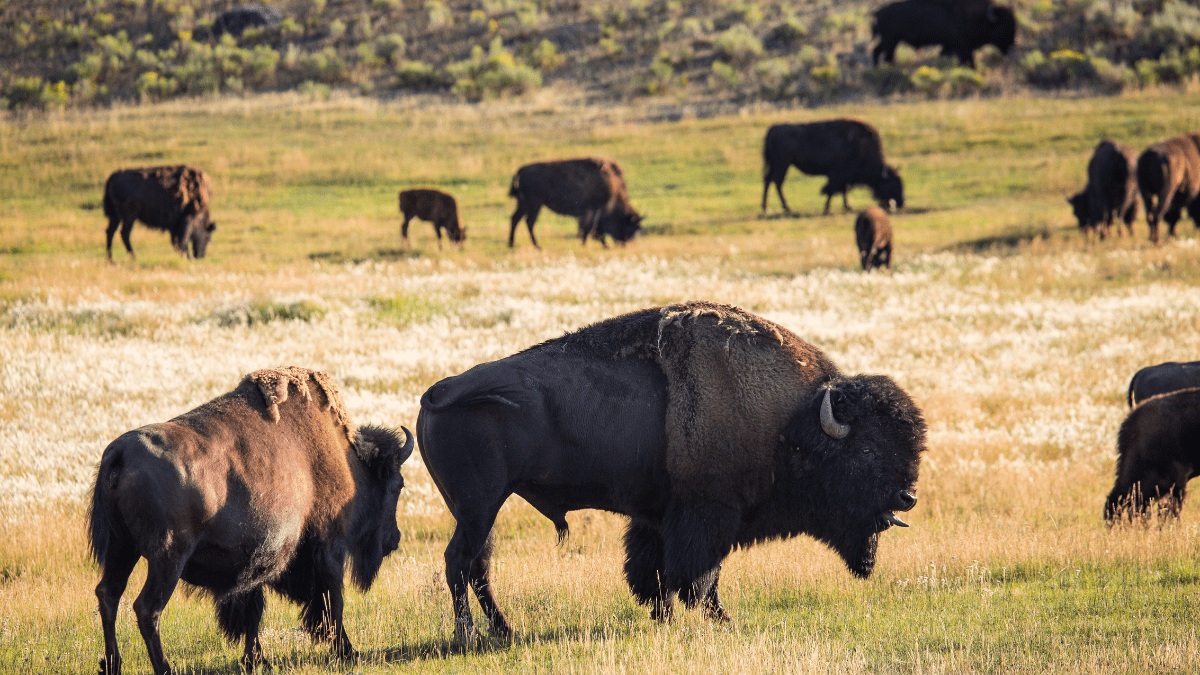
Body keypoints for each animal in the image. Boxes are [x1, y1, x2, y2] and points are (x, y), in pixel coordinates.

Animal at [89, 367, 414, 675]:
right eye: (398, 485)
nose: (394, 539)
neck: (347, 462)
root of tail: (119, 453)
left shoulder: (250, 566)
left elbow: (252, 613)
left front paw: (255, 660)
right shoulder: (329, 547)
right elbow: (332, 602)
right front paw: (348, 652)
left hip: (121, 549)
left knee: (108, 595)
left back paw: (112, 664)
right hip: (167, 558)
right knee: (147, 609)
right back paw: (165, 669)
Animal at [418, 301, 926, 641]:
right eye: (867, 451)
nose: (907, 497)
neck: (791, 422)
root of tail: (437, 392)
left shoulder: (659, 518)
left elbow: (652, 571)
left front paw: (661, 617)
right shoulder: (709, 515)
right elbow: (701, 577)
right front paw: (721, 620)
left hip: (481, 510)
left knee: (478, 564)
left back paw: (503, 629)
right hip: (480, 507)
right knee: (460, 561)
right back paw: (470, 634)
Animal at [508, 157, 643, 248]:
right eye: (632, 227)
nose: (626, 244)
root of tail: (521, 170)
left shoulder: (589, 212)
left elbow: (589, 228)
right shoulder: (595, 209)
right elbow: (590, 228)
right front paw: (589, 245)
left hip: (524, 204)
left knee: (515, 219)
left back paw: (512, 244)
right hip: (535, 204)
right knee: (529, 222)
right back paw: (537, 246)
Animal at [762, 119, 904, 216]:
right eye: (893, 183)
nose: (900, 202)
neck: (861, 146)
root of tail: (772, 129)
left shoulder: (842, 177)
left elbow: (842, 190)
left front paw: (848, 206)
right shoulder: (837, 174)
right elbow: (832, 190)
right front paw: (827, 209)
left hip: (776, 165)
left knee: (768, 180)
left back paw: (766, 208)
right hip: (783, 164)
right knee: (777, 182)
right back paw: (787, 207)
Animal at [872, 0, 1017, 68]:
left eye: (1014, 24)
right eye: (1004, 25)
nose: (1012, 43)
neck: (983, 18)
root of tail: (878, 12)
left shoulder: (951, 47)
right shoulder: (963, 48)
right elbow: (969, 61)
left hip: (891, 41)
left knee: (882, 53)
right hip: (890, 40)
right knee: (882, 53)